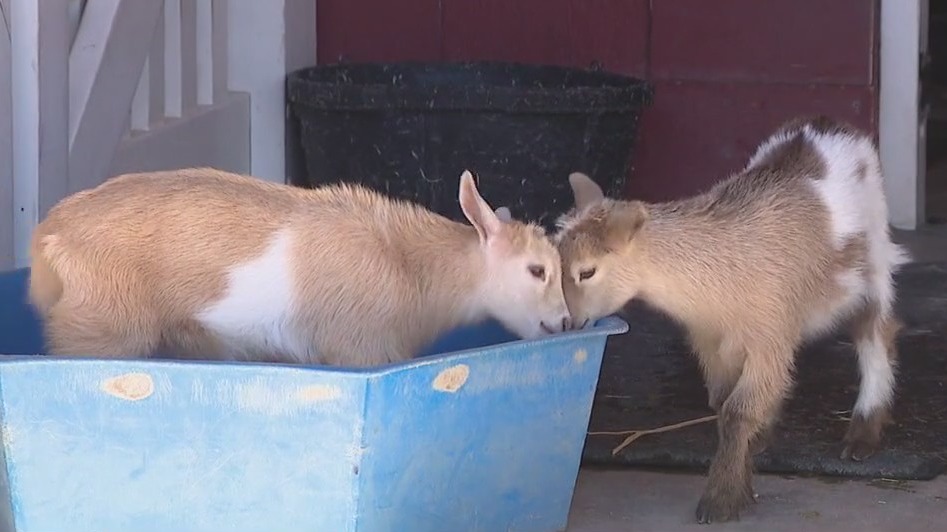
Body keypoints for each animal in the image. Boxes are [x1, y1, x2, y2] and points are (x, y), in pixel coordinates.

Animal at [29, 167, 572, 366]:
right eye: (537, 271)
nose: (566, 323)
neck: (409, 263)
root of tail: (50, 233)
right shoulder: (361, 348)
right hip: (100, 325)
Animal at [554, 116, 909, 523]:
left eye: (587, 271)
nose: (567, 321)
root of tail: (824, 124)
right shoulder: (711, 340)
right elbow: (724, 406)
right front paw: (743, 481)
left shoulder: (770, 337)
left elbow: (738, 412)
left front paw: (720, 500)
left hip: (875, 255)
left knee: (874, 332)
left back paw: (863, 434)